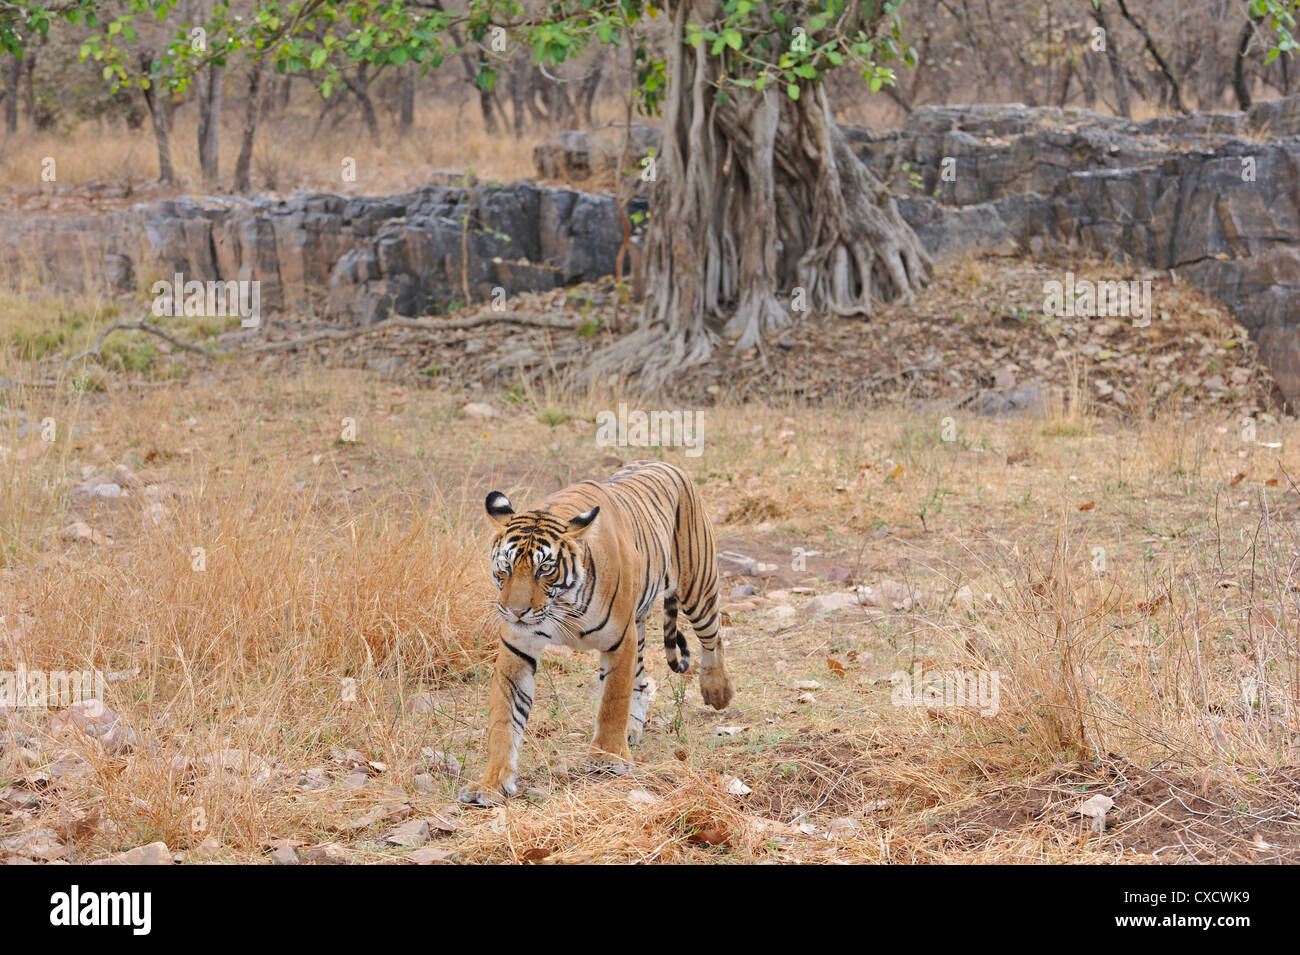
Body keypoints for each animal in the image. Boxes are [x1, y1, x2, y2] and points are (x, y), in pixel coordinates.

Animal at [457, 459, 734, 805]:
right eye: (505, 566)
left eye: (544, 568)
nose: (517, 612)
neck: (562, 605)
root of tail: (666, 462)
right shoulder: (518, 649)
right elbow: (504, 719)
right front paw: (491, 783)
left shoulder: (620, 640)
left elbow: (613, 699)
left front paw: (608, 756)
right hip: (641, 622)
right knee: (642, 680)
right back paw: (633, 729)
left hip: (698, 588)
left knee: (713, 638)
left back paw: (718, 691)